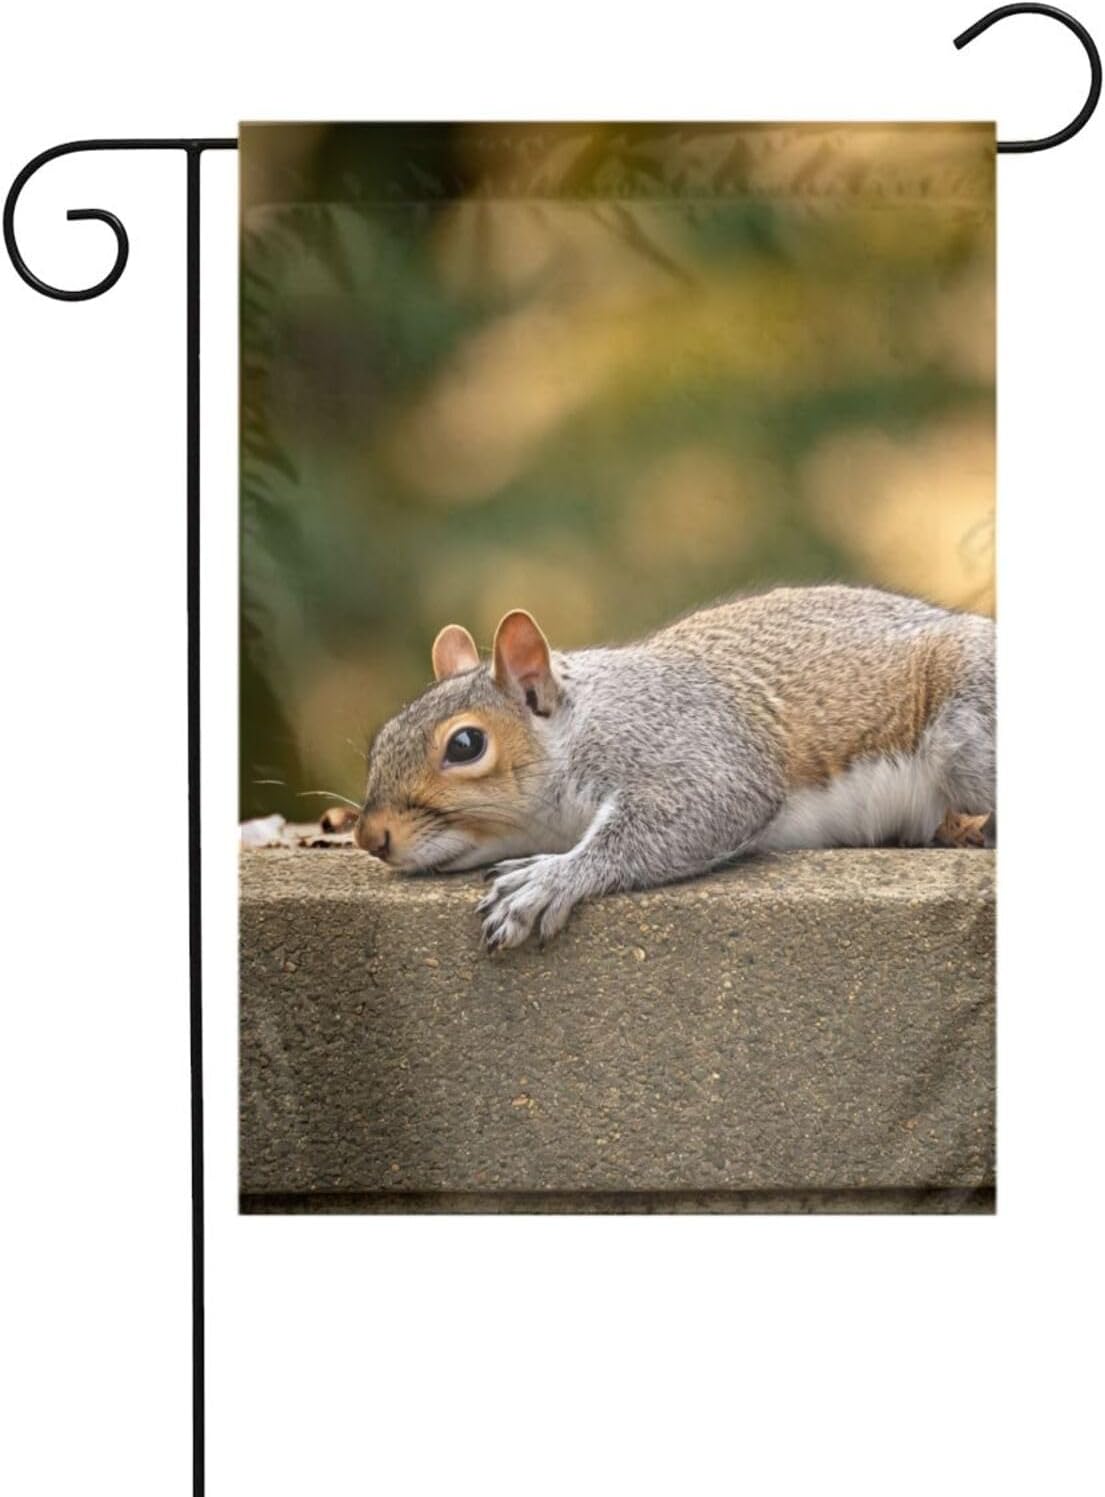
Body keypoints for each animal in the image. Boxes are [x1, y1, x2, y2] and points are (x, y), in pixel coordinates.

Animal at [355, 585, 995, 949]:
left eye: (466, 745)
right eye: (382, 738)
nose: (369, 836)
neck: (581, 722)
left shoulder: (690, 740)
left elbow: (704, 803)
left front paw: (550, 879)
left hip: (974, 728)